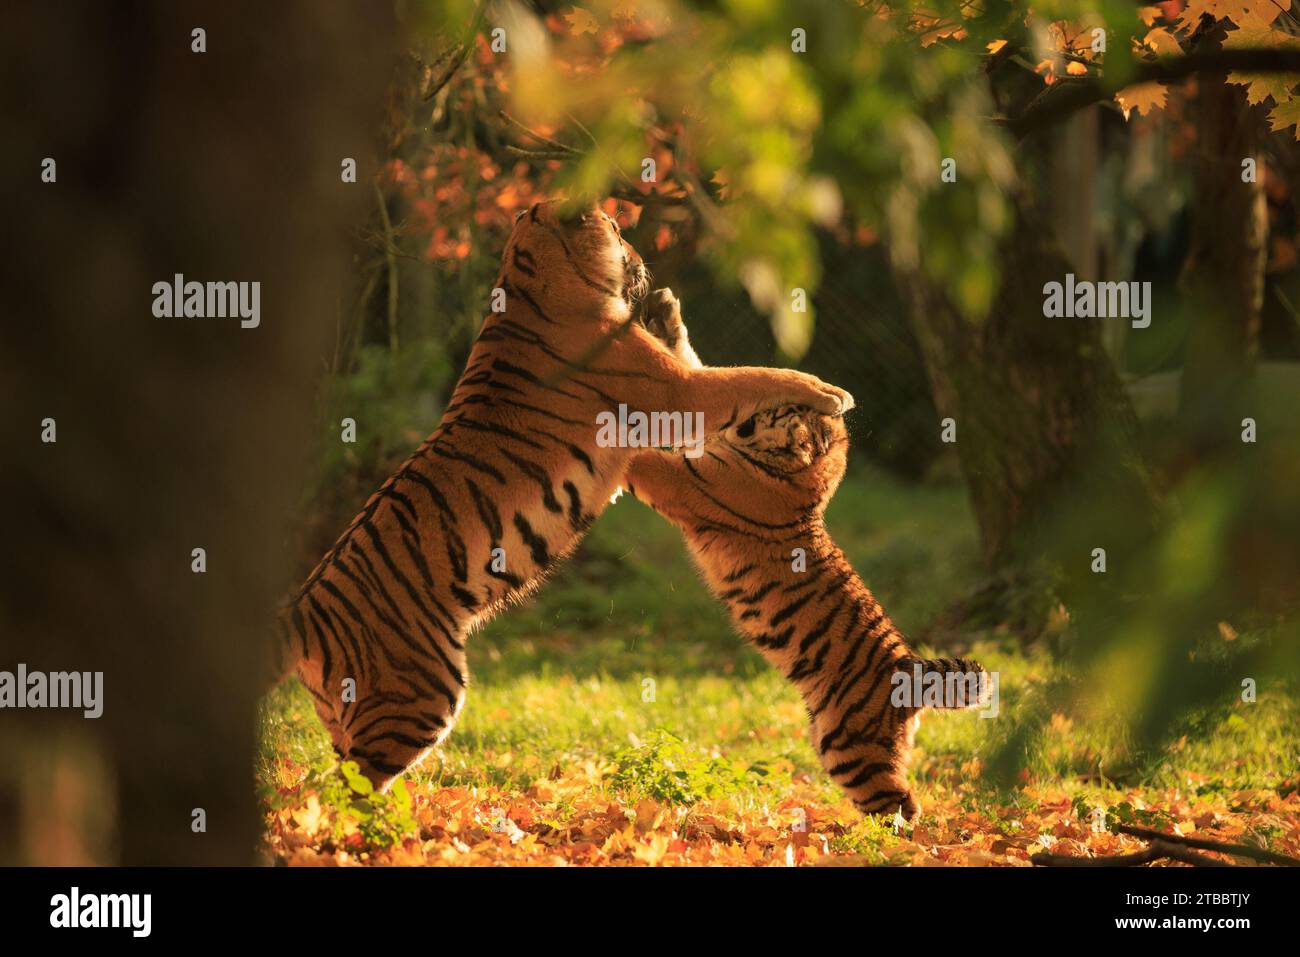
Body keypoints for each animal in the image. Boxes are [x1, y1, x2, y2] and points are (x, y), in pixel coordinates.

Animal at [274, 199, 854, 790]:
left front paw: (667, 310)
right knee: (349, 787)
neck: (531, 274)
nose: (642, 259)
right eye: (617, 227)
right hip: (422, 694)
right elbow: (751, 375)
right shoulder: (678, 392)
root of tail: (304, 612)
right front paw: (831, 392)